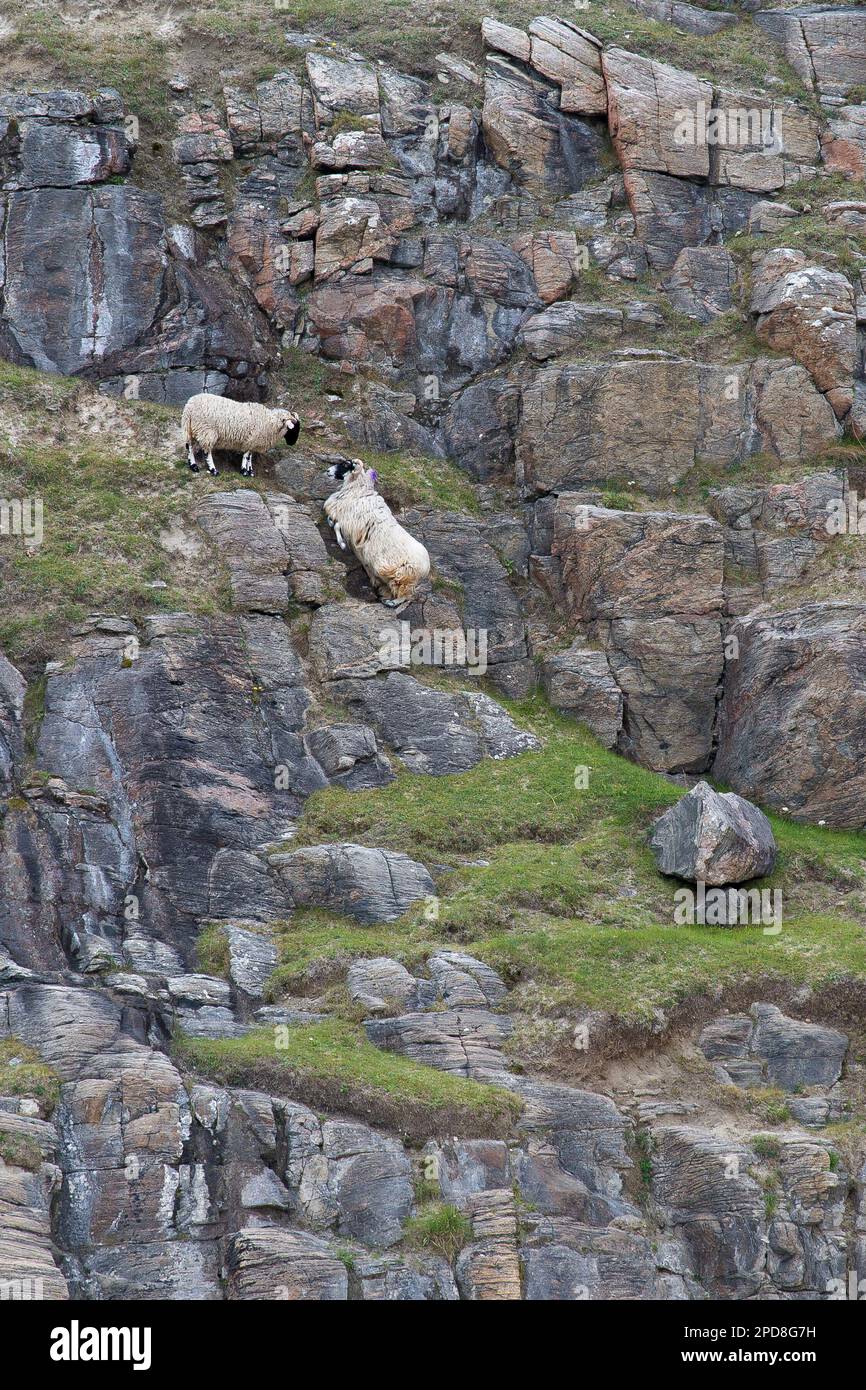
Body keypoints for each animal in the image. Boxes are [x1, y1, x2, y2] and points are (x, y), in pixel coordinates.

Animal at [323, 458, 431, 607]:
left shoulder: (351, 522)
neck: (357, 489)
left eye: (345, 464)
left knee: (406, 595)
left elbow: (337, 526)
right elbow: (332, 521)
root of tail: (426, 568)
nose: (327, 470)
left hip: (403, 576)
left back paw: (392, 602)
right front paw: (332, 525)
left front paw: (342, 544)